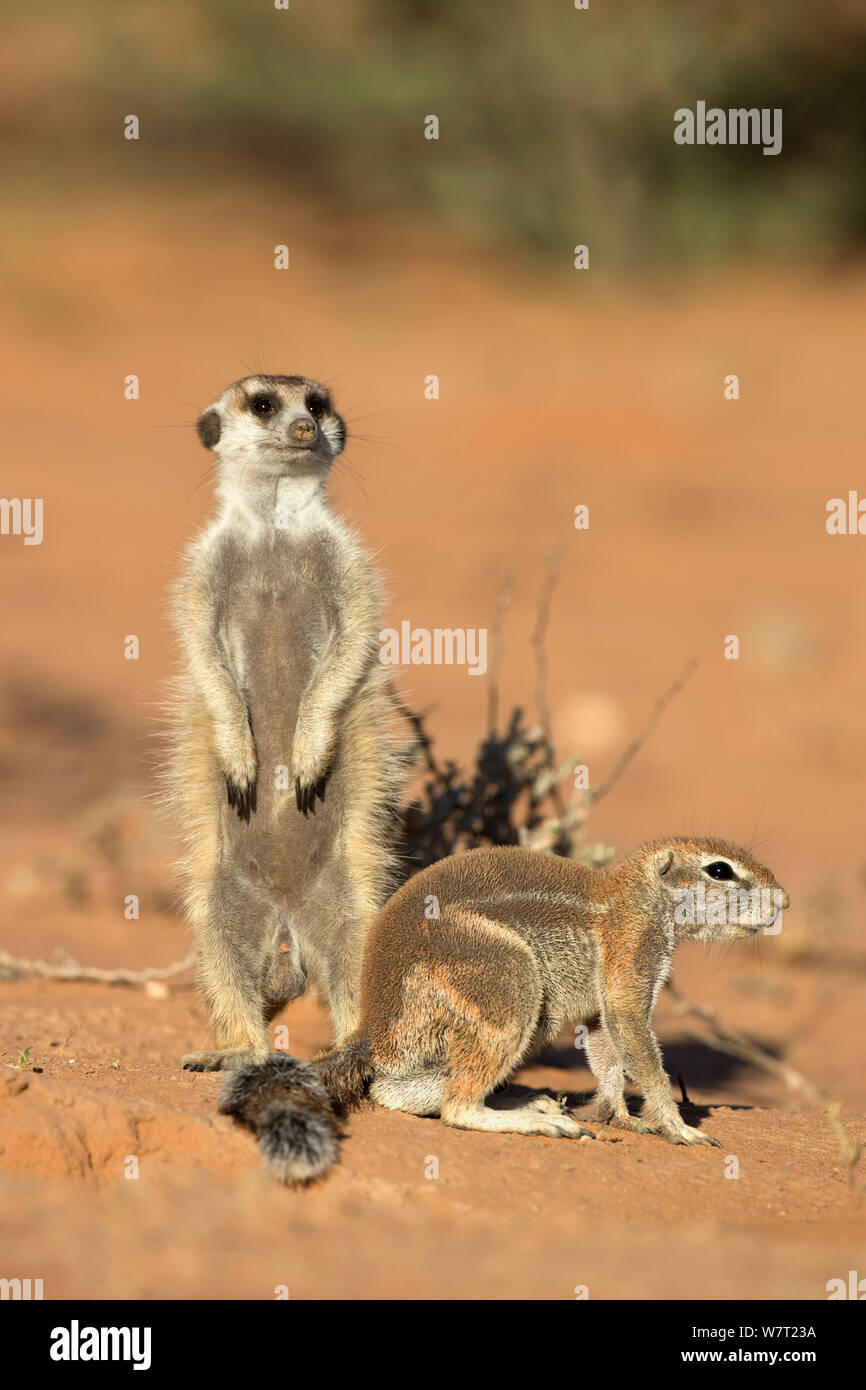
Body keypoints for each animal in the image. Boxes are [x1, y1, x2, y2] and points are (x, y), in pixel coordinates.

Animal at [163, 374, 407, 1071]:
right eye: (264, 403)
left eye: (318, 404)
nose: (306, 427)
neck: (274, 527)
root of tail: (286, 925)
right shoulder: (203, 570)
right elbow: (200, 646)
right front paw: (239, 753)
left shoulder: (348, 563)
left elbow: (354, 639)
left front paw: (308, 748)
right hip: (221, 901)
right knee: (221, 956)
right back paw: (236, 1049)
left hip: (351, 899)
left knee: (357, 956)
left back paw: (352, 1049)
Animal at [220, 835, 788, 1182]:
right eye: (720, 870)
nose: (783, 900)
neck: (637, 896)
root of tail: (372, 1032)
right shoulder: (630, 967)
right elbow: (641, 1051)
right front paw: (679, 1128)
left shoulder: (600, 1009)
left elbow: (607, 1054)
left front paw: (623, 1117)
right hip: (512, 983)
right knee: (456, 1108)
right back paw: (540, 1122)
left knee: (399, 1091)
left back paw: (532, 1103)